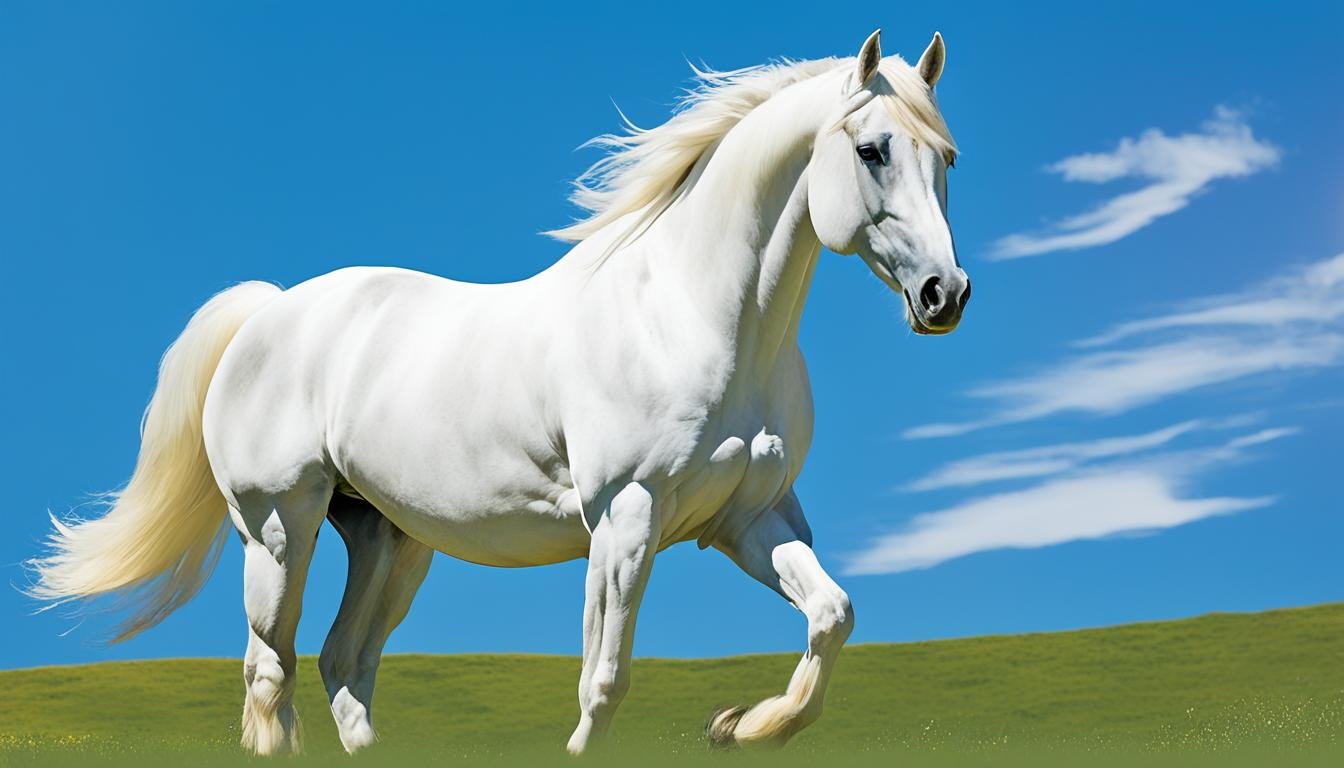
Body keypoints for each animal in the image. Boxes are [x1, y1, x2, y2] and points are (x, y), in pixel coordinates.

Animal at [29, 29, 968, 755]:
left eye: (947, 157)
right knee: (272, 674)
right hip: (278, 527)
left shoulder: (747, 519)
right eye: (872, 150)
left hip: (388, 538)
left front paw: (742, 726)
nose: (944, 295)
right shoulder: (625, 517)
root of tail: (266, 312)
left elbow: (833, 615)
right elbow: (605, 680)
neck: (690, 315)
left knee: (343, 665)